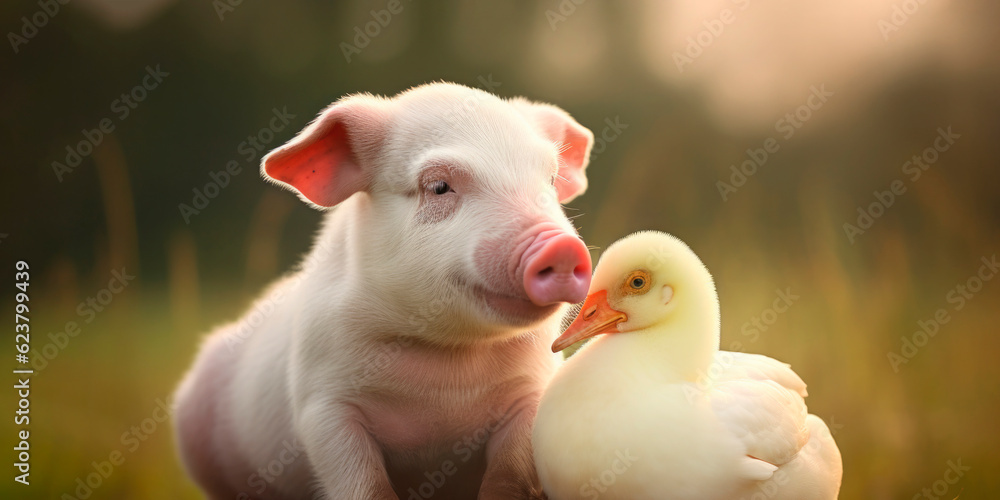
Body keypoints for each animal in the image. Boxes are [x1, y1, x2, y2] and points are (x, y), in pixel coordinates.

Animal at [173, 82, 596, 500]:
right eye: (439, 186)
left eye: (551, 180)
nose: (561, 246)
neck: (446, 377)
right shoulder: (322, 404)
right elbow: (364, 484)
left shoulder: (531, 394)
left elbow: (507, 477)